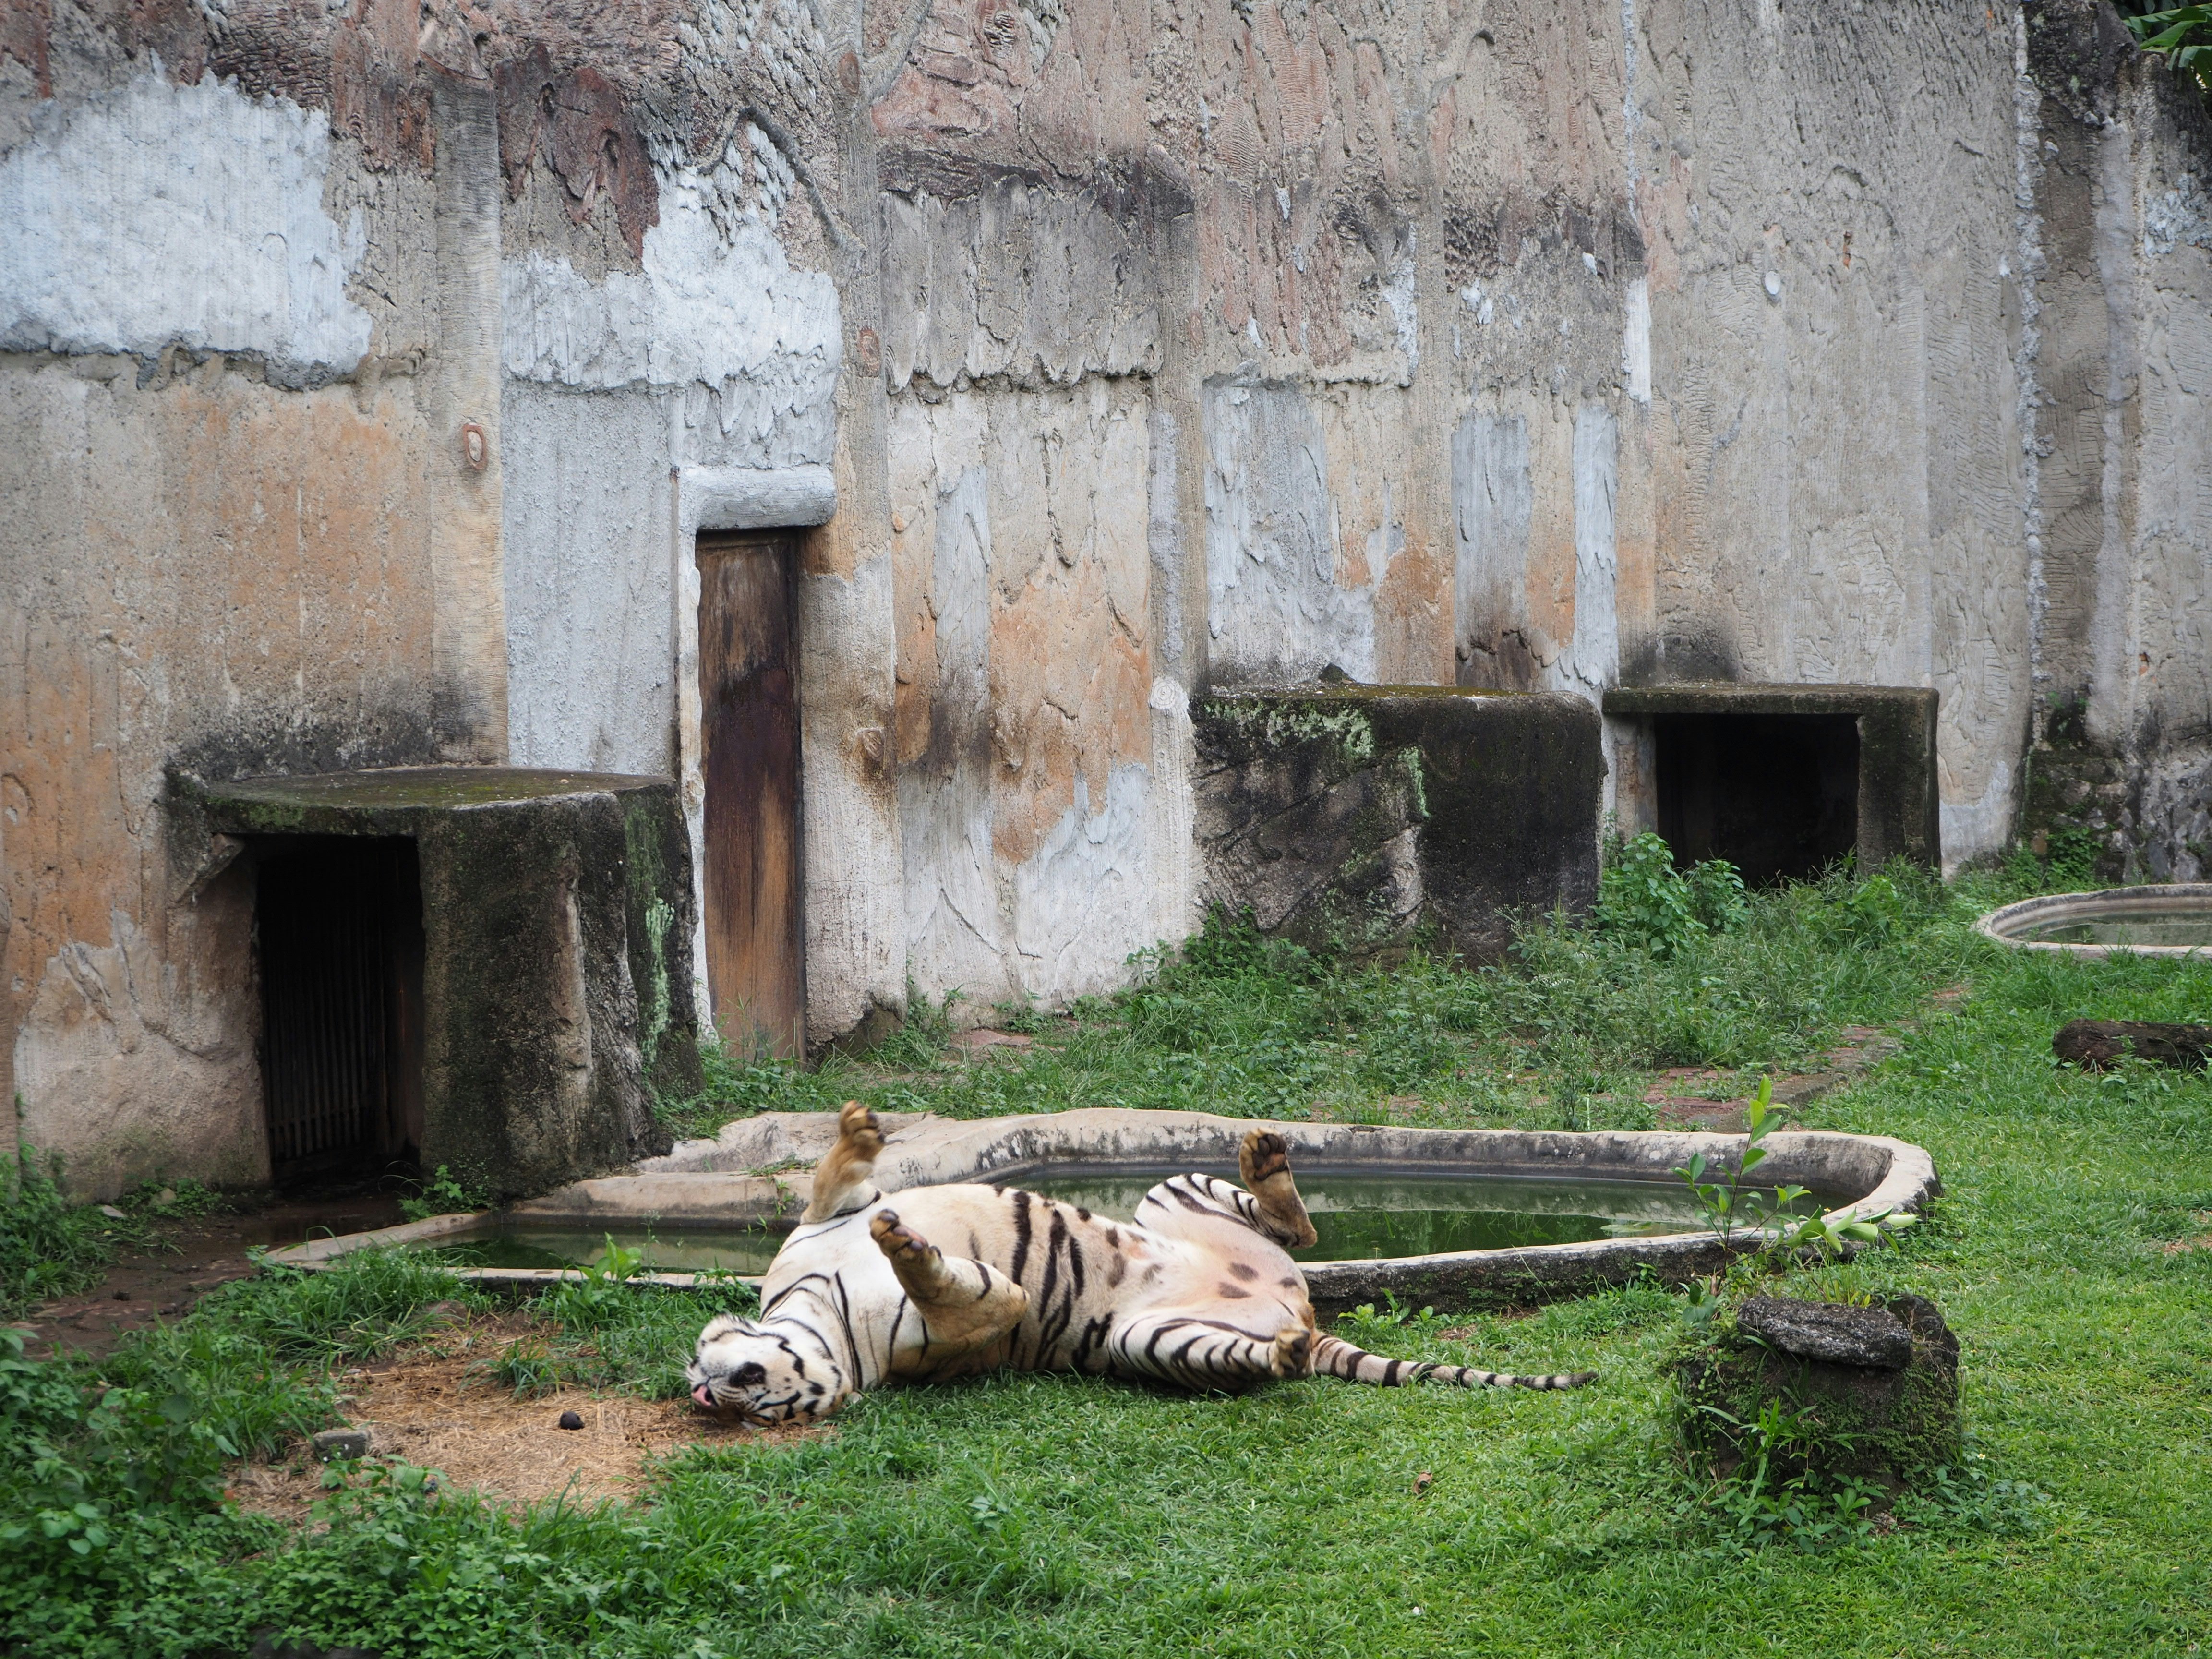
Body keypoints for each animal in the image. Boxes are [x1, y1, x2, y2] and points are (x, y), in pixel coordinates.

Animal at [686, 1102, 1594, 1422]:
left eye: (749, 1392)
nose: (704, 1391)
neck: (821, 1316)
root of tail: (1305, 1317)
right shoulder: (968, 1325)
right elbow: (983, 1290)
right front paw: (910, 1245)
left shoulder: (823, 1222)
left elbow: (831, 1178)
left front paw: (862, 1141)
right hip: (1155, 1340)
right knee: (1268, 1363)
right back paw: (1283, 1351)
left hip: (1171, 1188)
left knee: (1297, 1230)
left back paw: (1266, 1158)